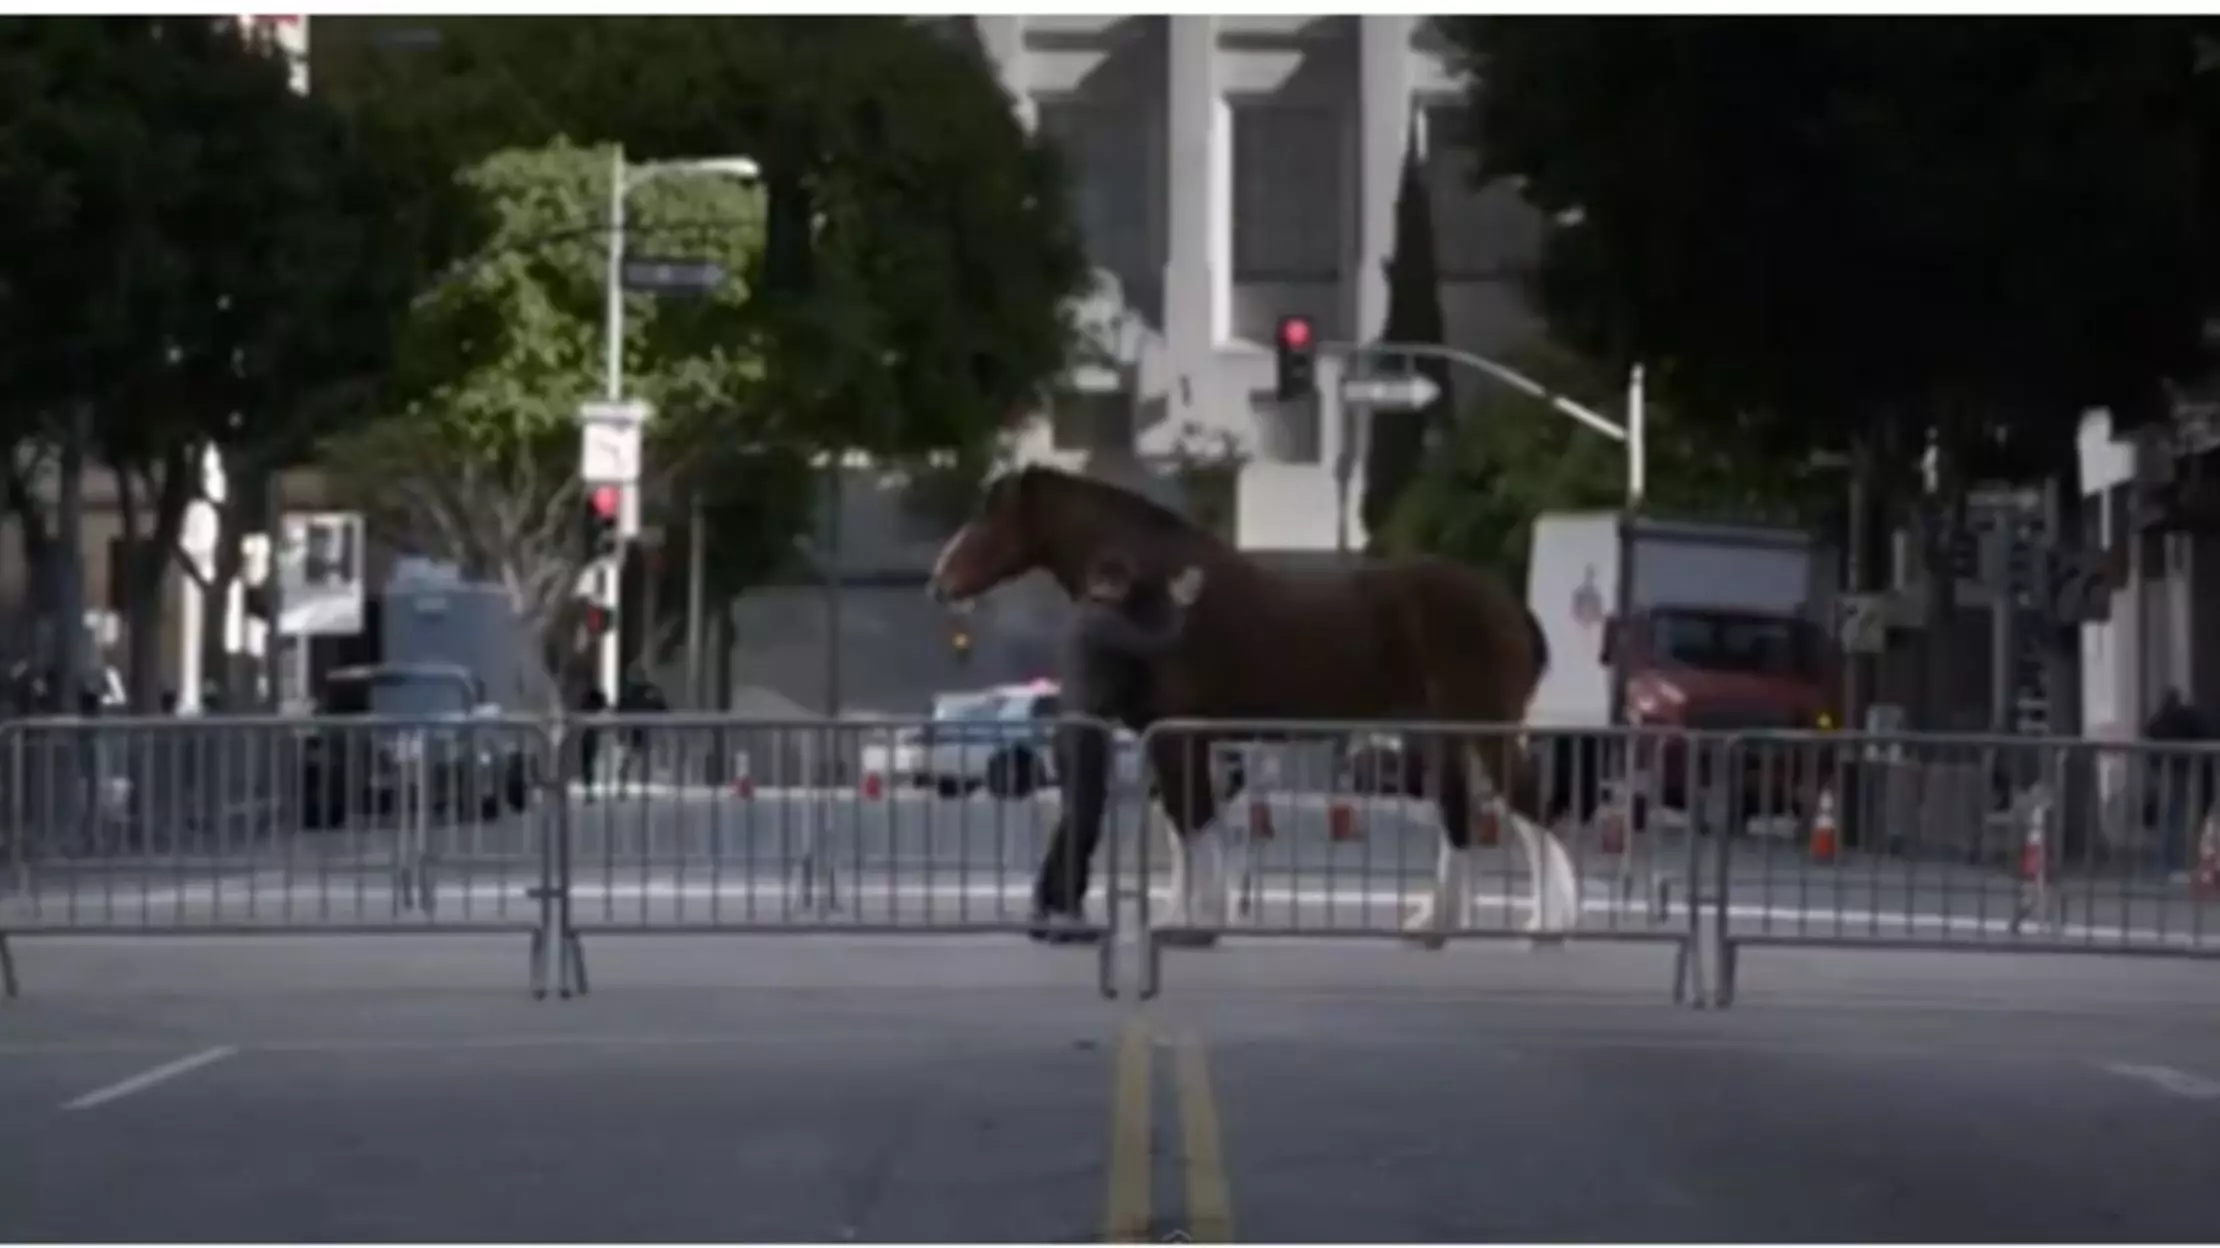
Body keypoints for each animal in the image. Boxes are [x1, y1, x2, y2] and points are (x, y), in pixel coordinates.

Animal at [927, 466, 1589, 941]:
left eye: (988, 518)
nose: (938, 581)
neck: (1150, 588)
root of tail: (1511, 607)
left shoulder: (1177, 734)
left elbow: (1192, 825)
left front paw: (1194, 920)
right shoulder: (1175, 739)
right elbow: (1184, 827)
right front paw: (1188, 914)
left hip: (1484, 730)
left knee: (1527, 810)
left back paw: (1547, 924)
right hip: (1447, 738)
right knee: (1470, 820)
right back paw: (1446, 922)